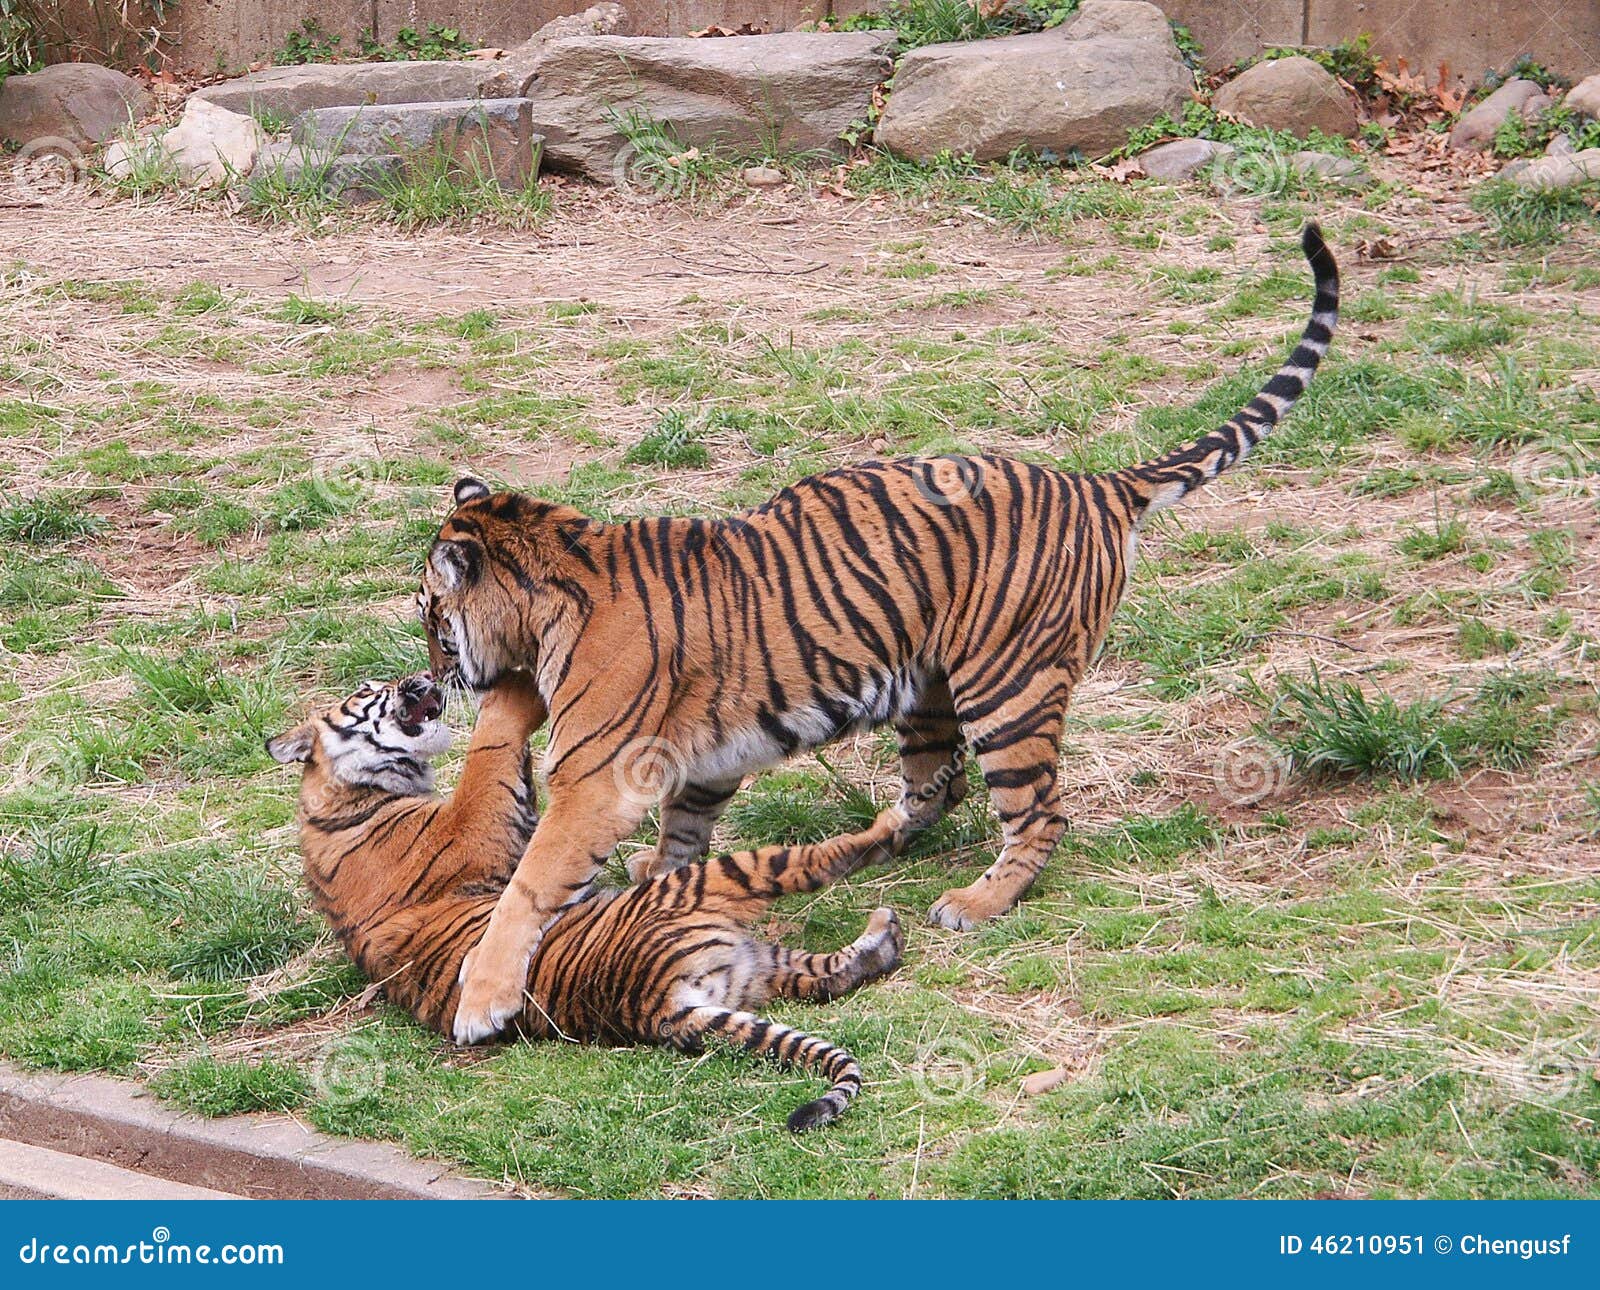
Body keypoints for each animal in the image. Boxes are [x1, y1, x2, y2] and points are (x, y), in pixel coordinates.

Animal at [266, 671, 909, 1131]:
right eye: (366, 691)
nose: (422, 679)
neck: (341, 795)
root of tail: (662, 1005)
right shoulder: (473, 819)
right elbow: (487, 756)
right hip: (700, 885)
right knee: (807, 864)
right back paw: (885, 832)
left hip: (755, 965)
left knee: (828, 974)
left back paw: (882, 936)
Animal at [421, 223, 1340, 1044]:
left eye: (431, 616)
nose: (434, 678)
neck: (556, 564)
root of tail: (1092, 483)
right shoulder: (700, 755)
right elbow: (685, 825)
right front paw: (664, 876)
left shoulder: (593, 779)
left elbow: (530, 886)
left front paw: (483, 1000)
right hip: (928, 689)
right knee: (940, 786)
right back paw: (886, 842)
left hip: (1008, 689)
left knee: (1039, 812)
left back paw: (976, 902)